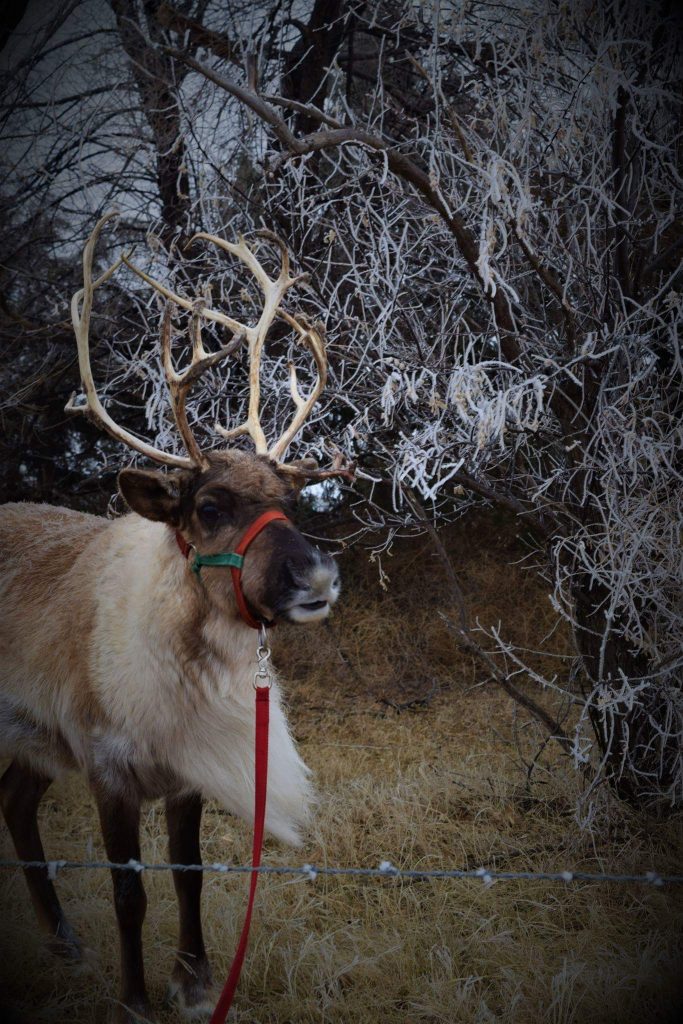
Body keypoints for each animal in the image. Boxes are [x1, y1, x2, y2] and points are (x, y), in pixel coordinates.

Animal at [0, 213, 351, 1022]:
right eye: (210, 507)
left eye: (289, 500)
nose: (319, 576)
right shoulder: (108, 768)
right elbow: (129, 891)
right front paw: (134, 998)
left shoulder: (185, 774)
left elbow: (187, 871)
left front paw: (193, 979)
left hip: (35, 737)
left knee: (13, 800)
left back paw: (61, 938)